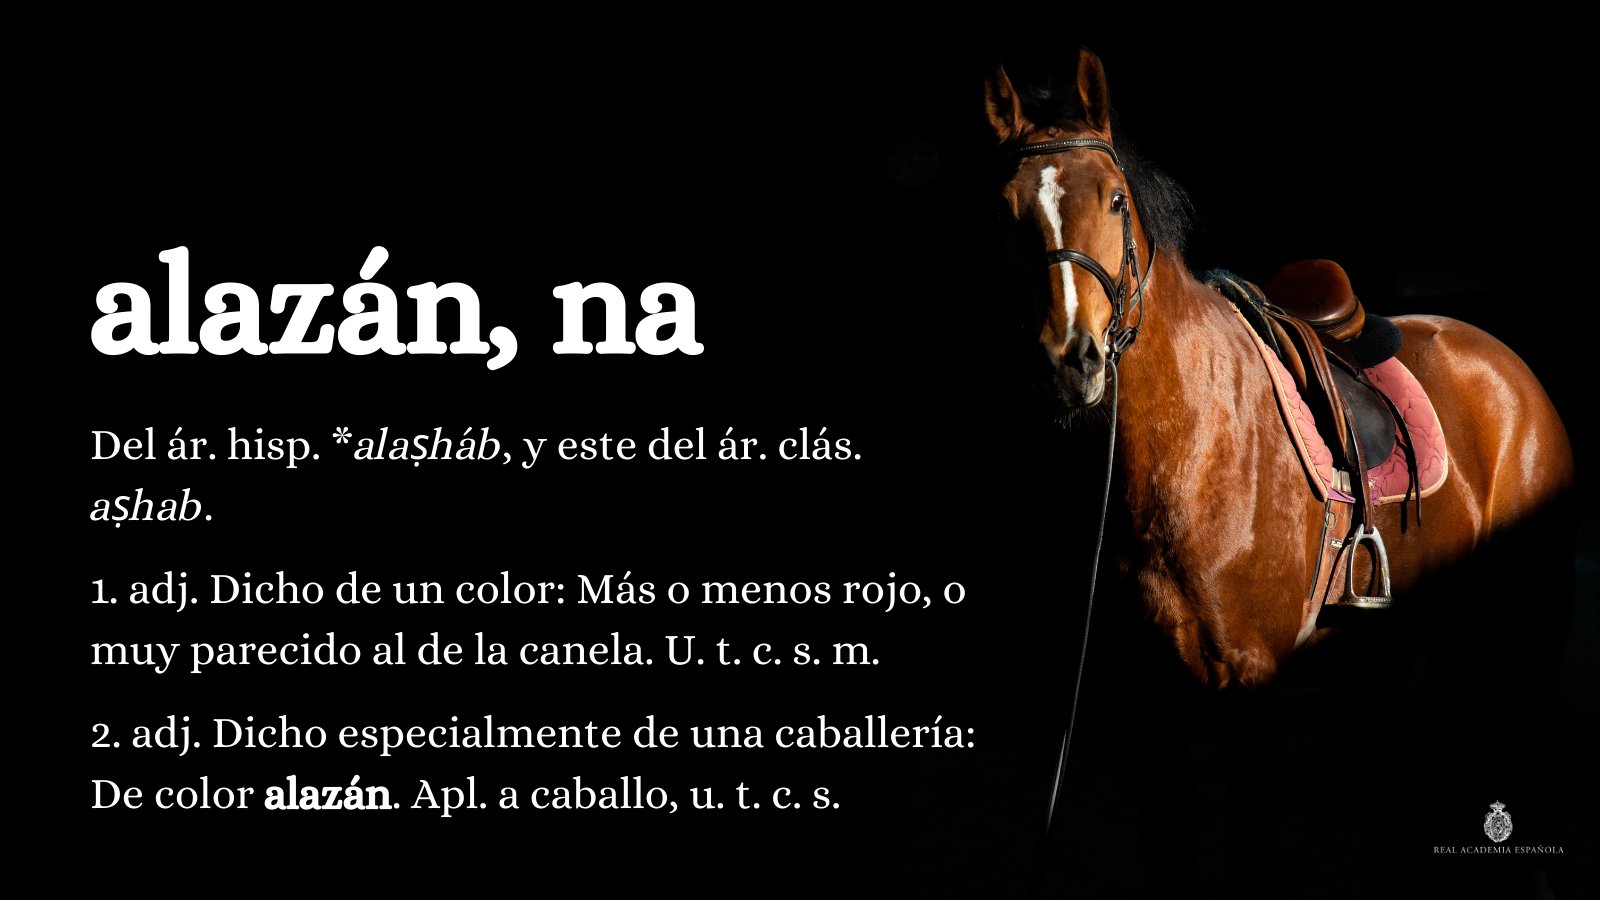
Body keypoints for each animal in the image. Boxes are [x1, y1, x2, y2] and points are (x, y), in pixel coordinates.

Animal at [985, 50, 1577, 897]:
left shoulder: (1251, 689)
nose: (1073, 360)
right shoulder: (1139, 705)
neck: (1183, 456)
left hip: (1519, 632)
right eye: (1005, 211)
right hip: (1373, 663)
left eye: (1114, 199)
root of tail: (1509, 367)